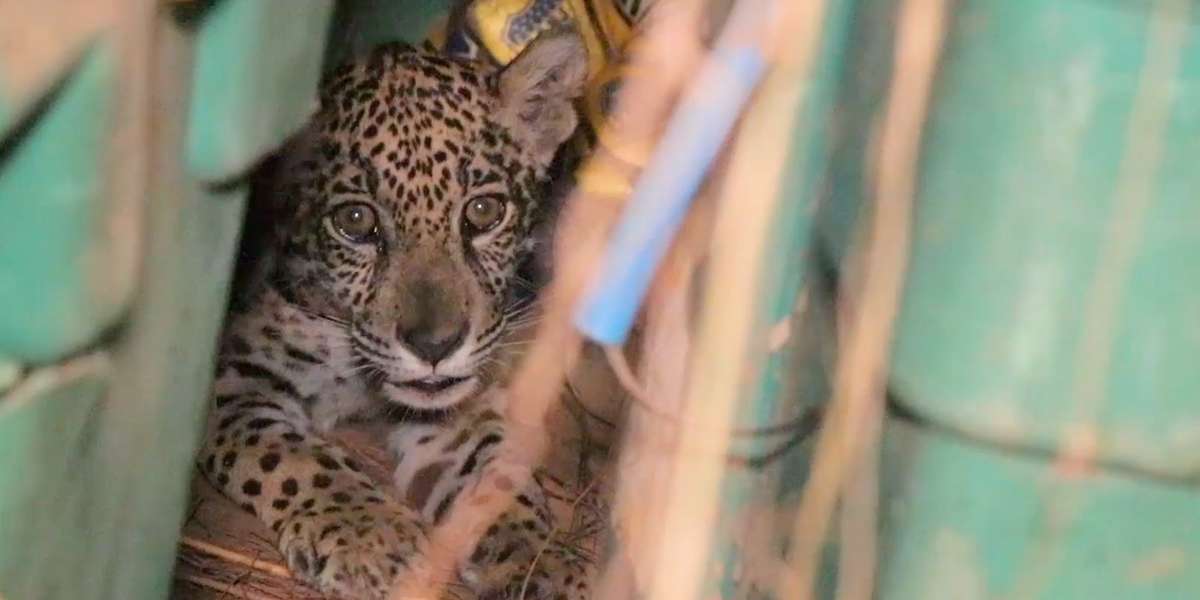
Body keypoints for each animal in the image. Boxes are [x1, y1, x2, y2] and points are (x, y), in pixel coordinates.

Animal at [197, 30, 602, 600]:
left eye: (484, 212)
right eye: (354, 221)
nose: (435, 345)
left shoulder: (452, 414)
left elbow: (495, 473)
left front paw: (543, 563)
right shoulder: (237, 376)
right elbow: (292, 456)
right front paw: (370, 536)